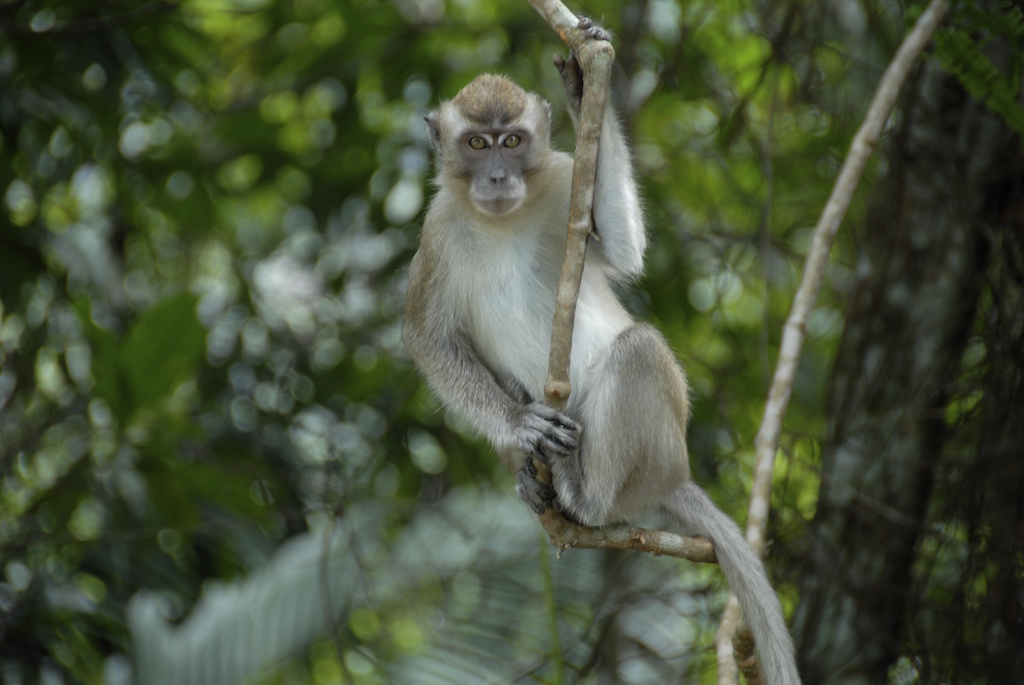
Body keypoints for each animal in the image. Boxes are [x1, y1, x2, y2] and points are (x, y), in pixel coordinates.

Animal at [402, 22, 800, 685]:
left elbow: (623, 247)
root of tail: (678, 474)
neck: (501, 220)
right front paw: (520, 421)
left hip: (656, 454)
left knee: (637, 349)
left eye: (513, 141)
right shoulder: (436, 231)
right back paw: (531, 476)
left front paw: (583, 86)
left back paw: (584, 500)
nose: (497, 177)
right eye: (477, 143)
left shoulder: (565, 177)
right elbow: (428, 340)